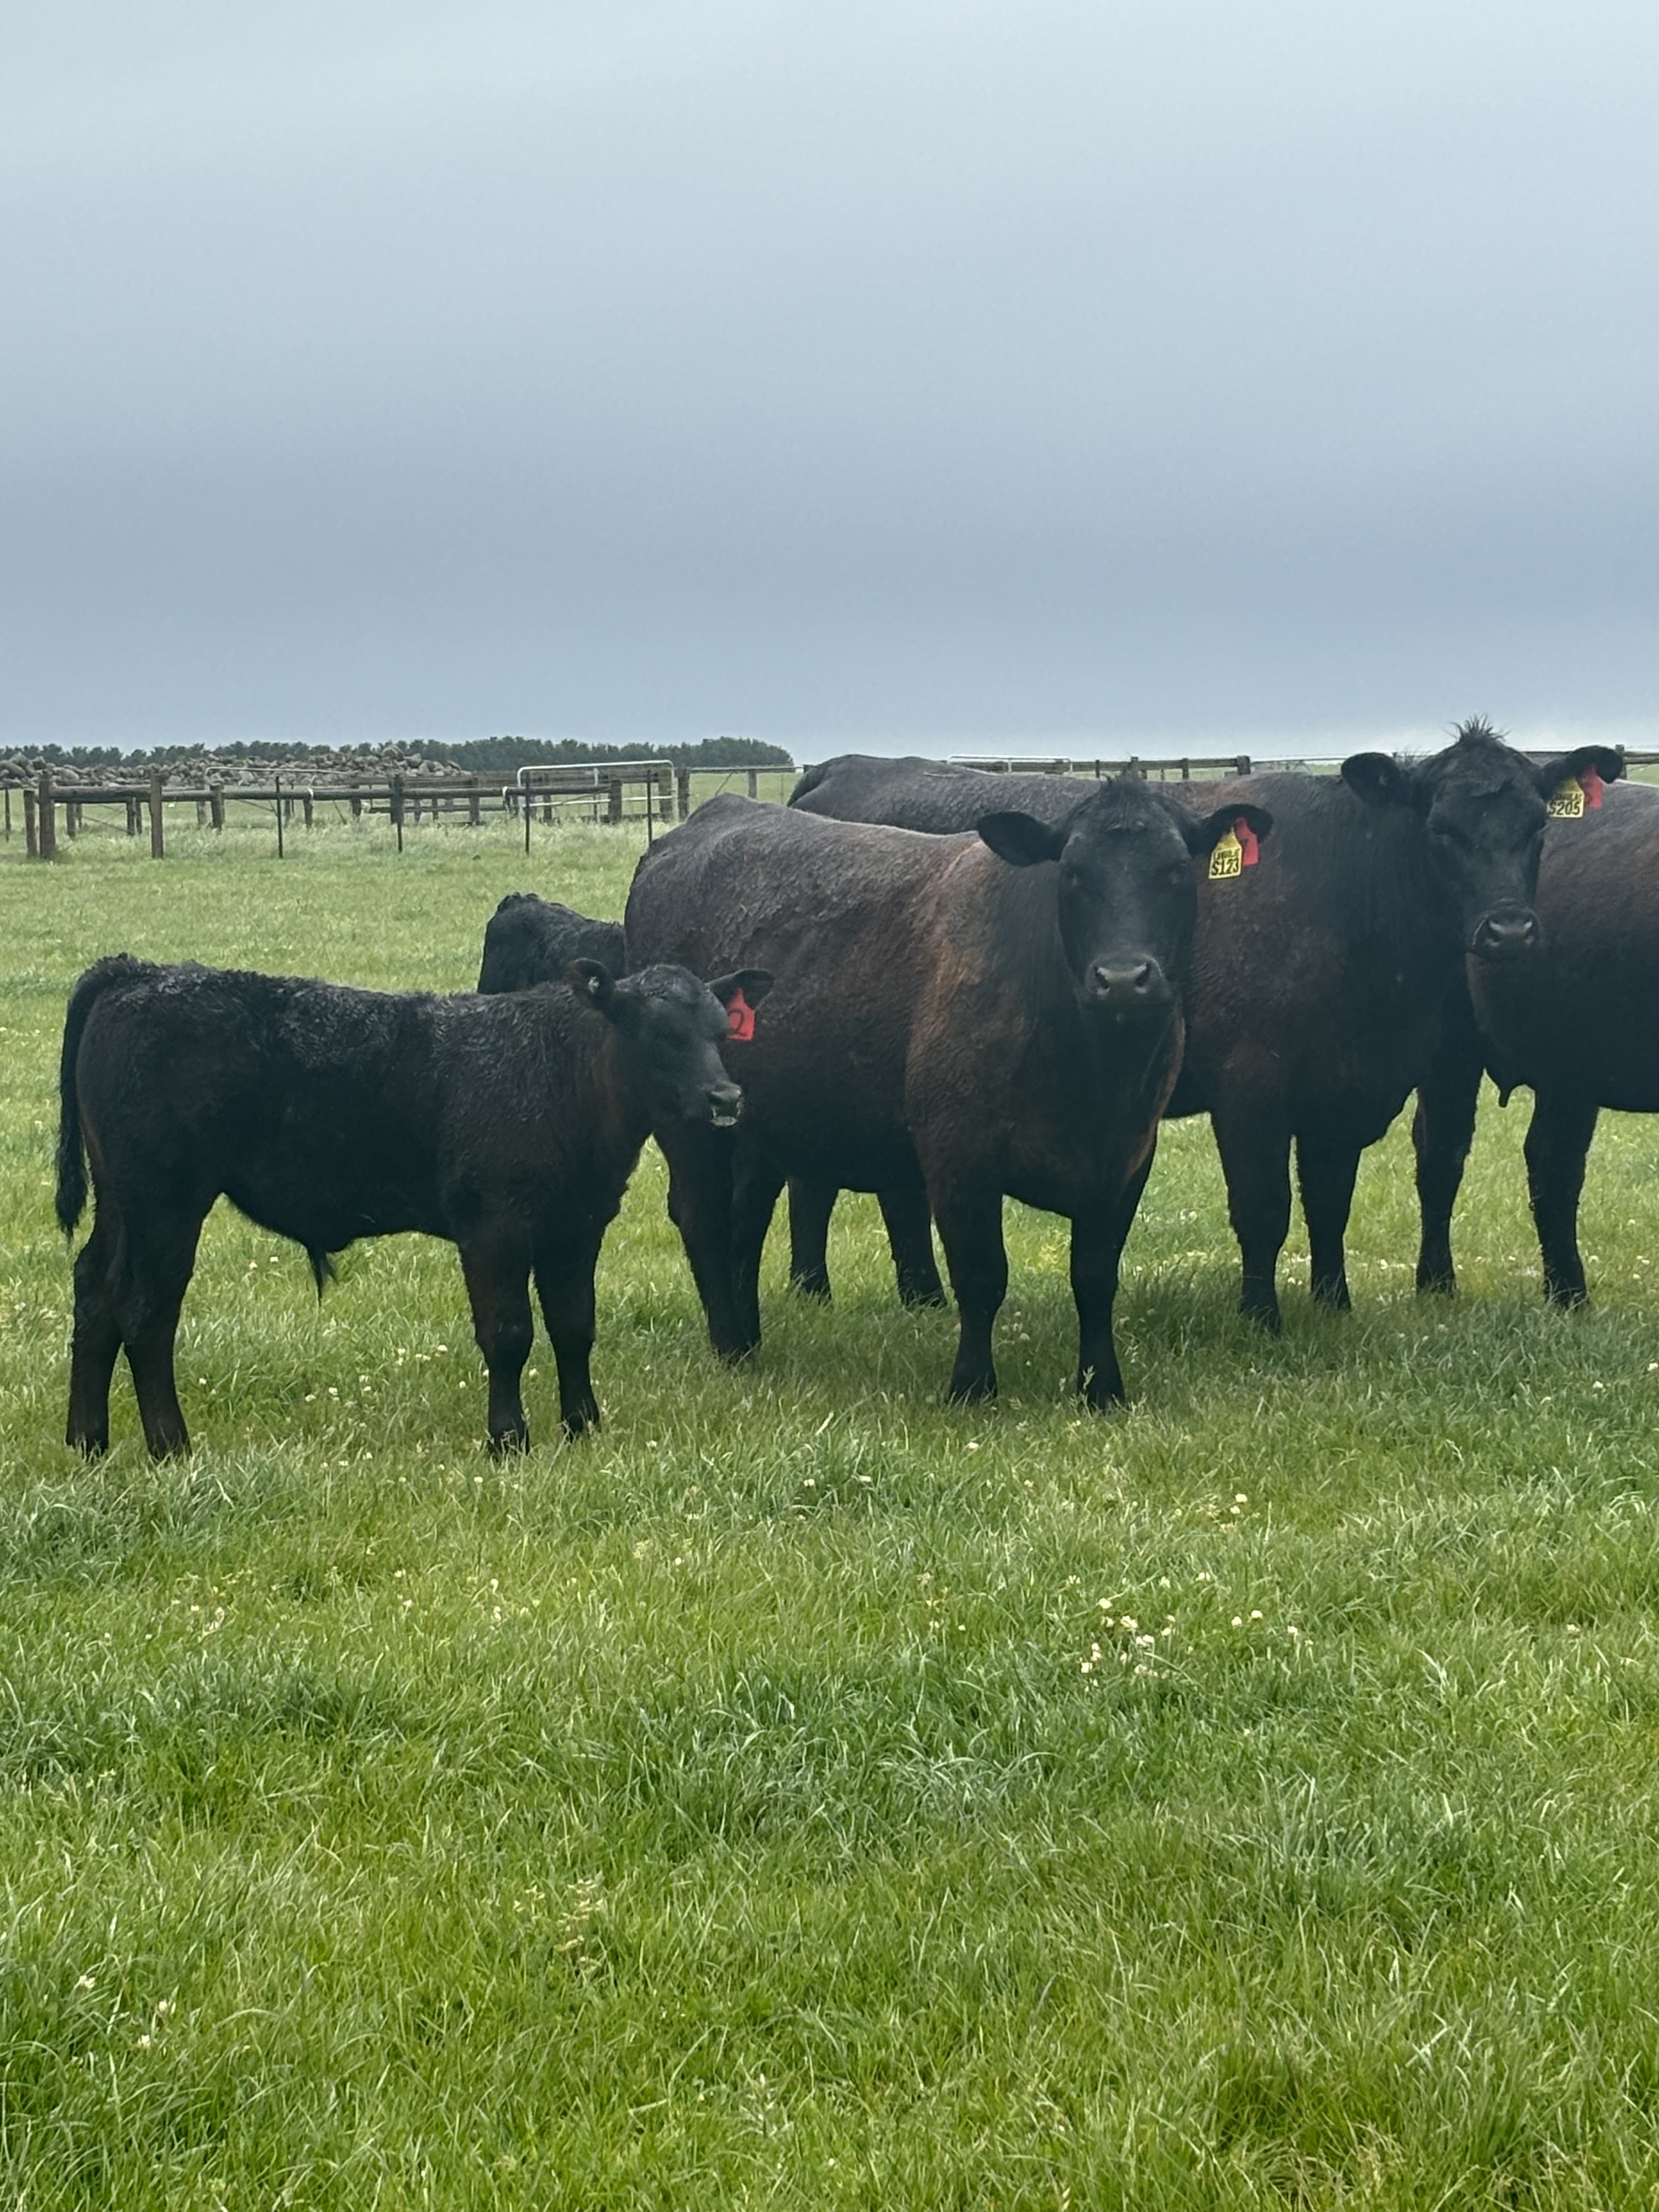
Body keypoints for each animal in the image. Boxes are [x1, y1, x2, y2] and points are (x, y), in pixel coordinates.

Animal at [57, 953, 768, 1458]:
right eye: (659, 1033)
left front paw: (583, 1425)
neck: (563, 1076)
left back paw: (88, 1440)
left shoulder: (578, 1226)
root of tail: (140, 973)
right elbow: (508, 1334)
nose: (727, 1098)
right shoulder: (493, 1226)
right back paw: (169, 1444)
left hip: (122, 1204)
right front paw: (508, 1439)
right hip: (164, 1203)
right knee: (146, 1311)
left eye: (719, 1031)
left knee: (95, 1294)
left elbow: (574, 1327)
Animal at [625, 783, 1271, 1409]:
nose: (1122, 979)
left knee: (746, 1218)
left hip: (757, 1125)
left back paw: (750, 1341)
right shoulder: (958, 1154)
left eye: (1176, 870)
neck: (1095, 1079)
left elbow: (1094, 1277)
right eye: (1071, 872)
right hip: (687, 1119)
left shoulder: (1128, 1157)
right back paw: (730, 1345)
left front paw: (1101, 1389)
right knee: (705, 1218)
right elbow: (981, 1275)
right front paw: (971, 1387)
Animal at [791, 726, 1625, 1330]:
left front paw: (1334, 1303)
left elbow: (1330, 1200)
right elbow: (1263, 1207)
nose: (1510, 931)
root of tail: (836, 769)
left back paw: (883, 1295)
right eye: (1441, 829)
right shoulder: (1251, 1081)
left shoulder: (1340, 1087)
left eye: (1537, 827)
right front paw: (1261, 1320)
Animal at [1413, 771, 1658, 1306]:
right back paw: (1440, 1283)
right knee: (1445, 1150)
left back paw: (1564, 1292)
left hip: (1566, 1066)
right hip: (1455, 1050)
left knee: (1548, 1161)